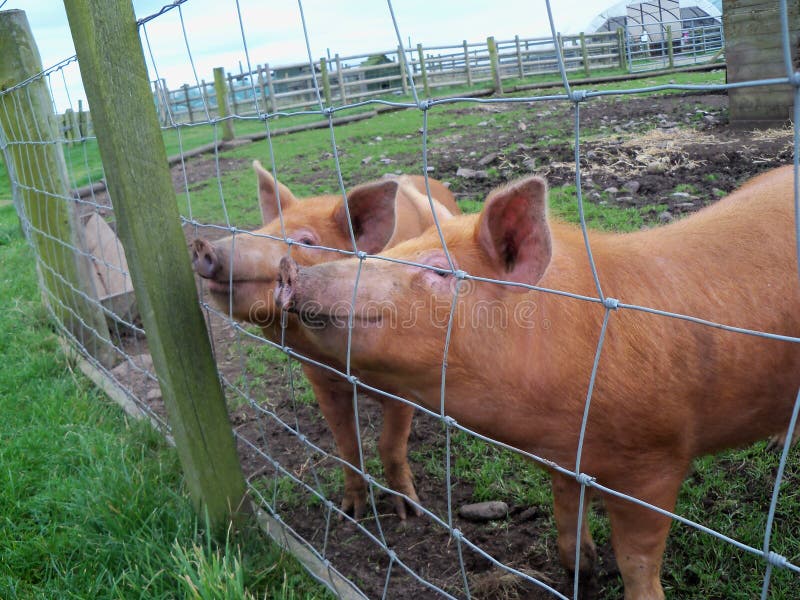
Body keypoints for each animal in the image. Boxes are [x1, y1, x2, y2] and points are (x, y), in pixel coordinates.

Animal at [191, 161, 459, 519]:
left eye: (306, 240)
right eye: (265, 227)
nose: (204, 247)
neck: (344, 366)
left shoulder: (403, 385)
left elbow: (389, 444)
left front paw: (408, 512)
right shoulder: (320, 380)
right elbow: (346, 444)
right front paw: (352, 513)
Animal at [275, 165, 800, 599]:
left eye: (440, 270)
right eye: (393, 251)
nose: (290, 270)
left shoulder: (656, 460)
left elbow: (637, 560)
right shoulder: (563, 459)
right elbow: (567, 512)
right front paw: (579, 573)